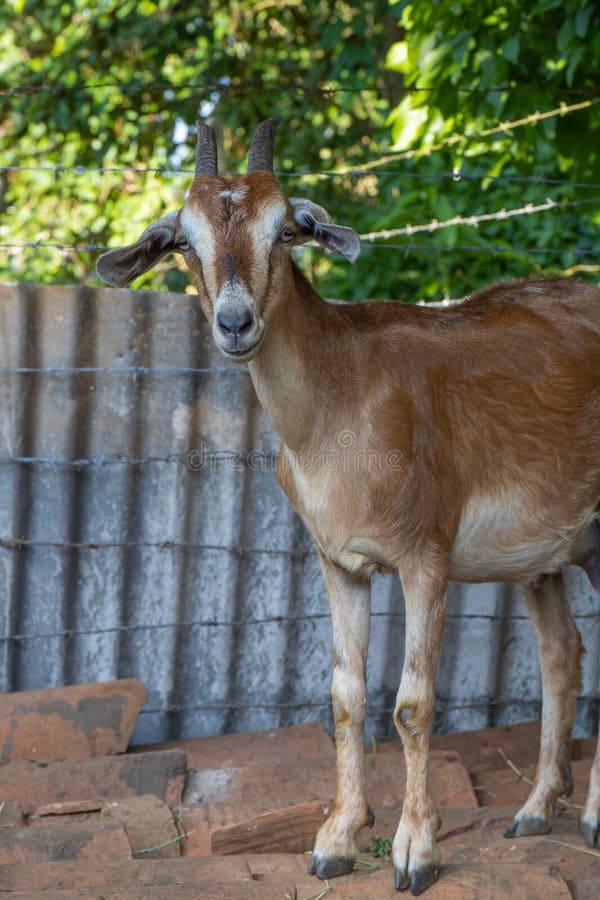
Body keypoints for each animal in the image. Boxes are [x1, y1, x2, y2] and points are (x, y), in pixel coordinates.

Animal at [97, 118, 600, 895]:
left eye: (285, 230)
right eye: (183, 240)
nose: (236, 323)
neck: (340, 401)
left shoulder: (426, 555)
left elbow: (413, 705)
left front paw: (415, 851)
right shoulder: (339, 562)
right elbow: (345, 696)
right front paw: (336, 839)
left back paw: (591, 817)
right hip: (545, 557)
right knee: (561, 655)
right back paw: (537, 809)